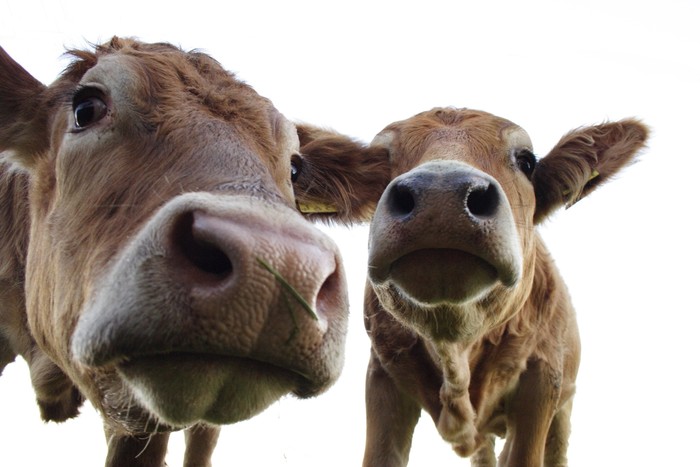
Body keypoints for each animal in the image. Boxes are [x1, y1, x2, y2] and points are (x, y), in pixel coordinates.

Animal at [295, 108, 648, 466]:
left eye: (527, 161)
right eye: (380, 158)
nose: (440, 193)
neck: (455, 348)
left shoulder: (543, 377)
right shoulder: (382, 375)